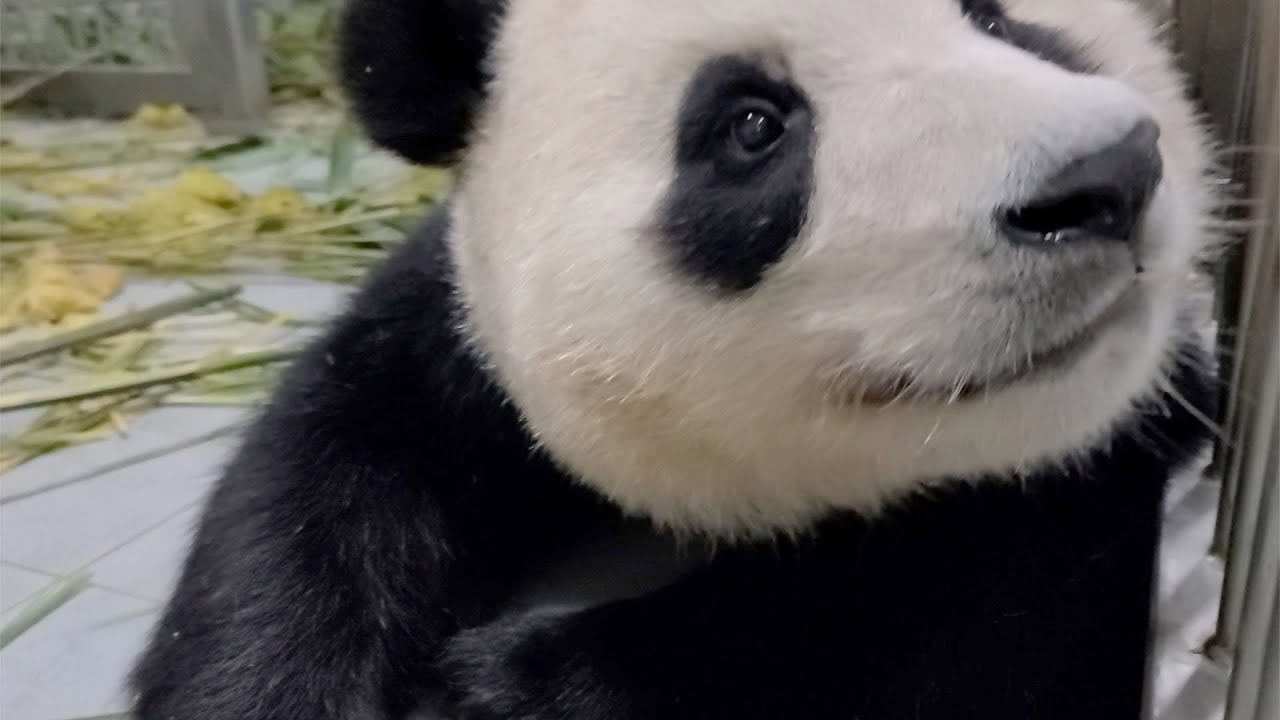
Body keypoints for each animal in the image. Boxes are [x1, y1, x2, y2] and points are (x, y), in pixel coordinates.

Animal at [129, 0, 1222, 718]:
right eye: (751, 125)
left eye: (1001, 20)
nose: (1103, 180)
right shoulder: (462, 330)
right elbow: (323, 470)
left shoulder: (1116, 456)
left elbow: (951, 613)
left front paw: (515, 687)